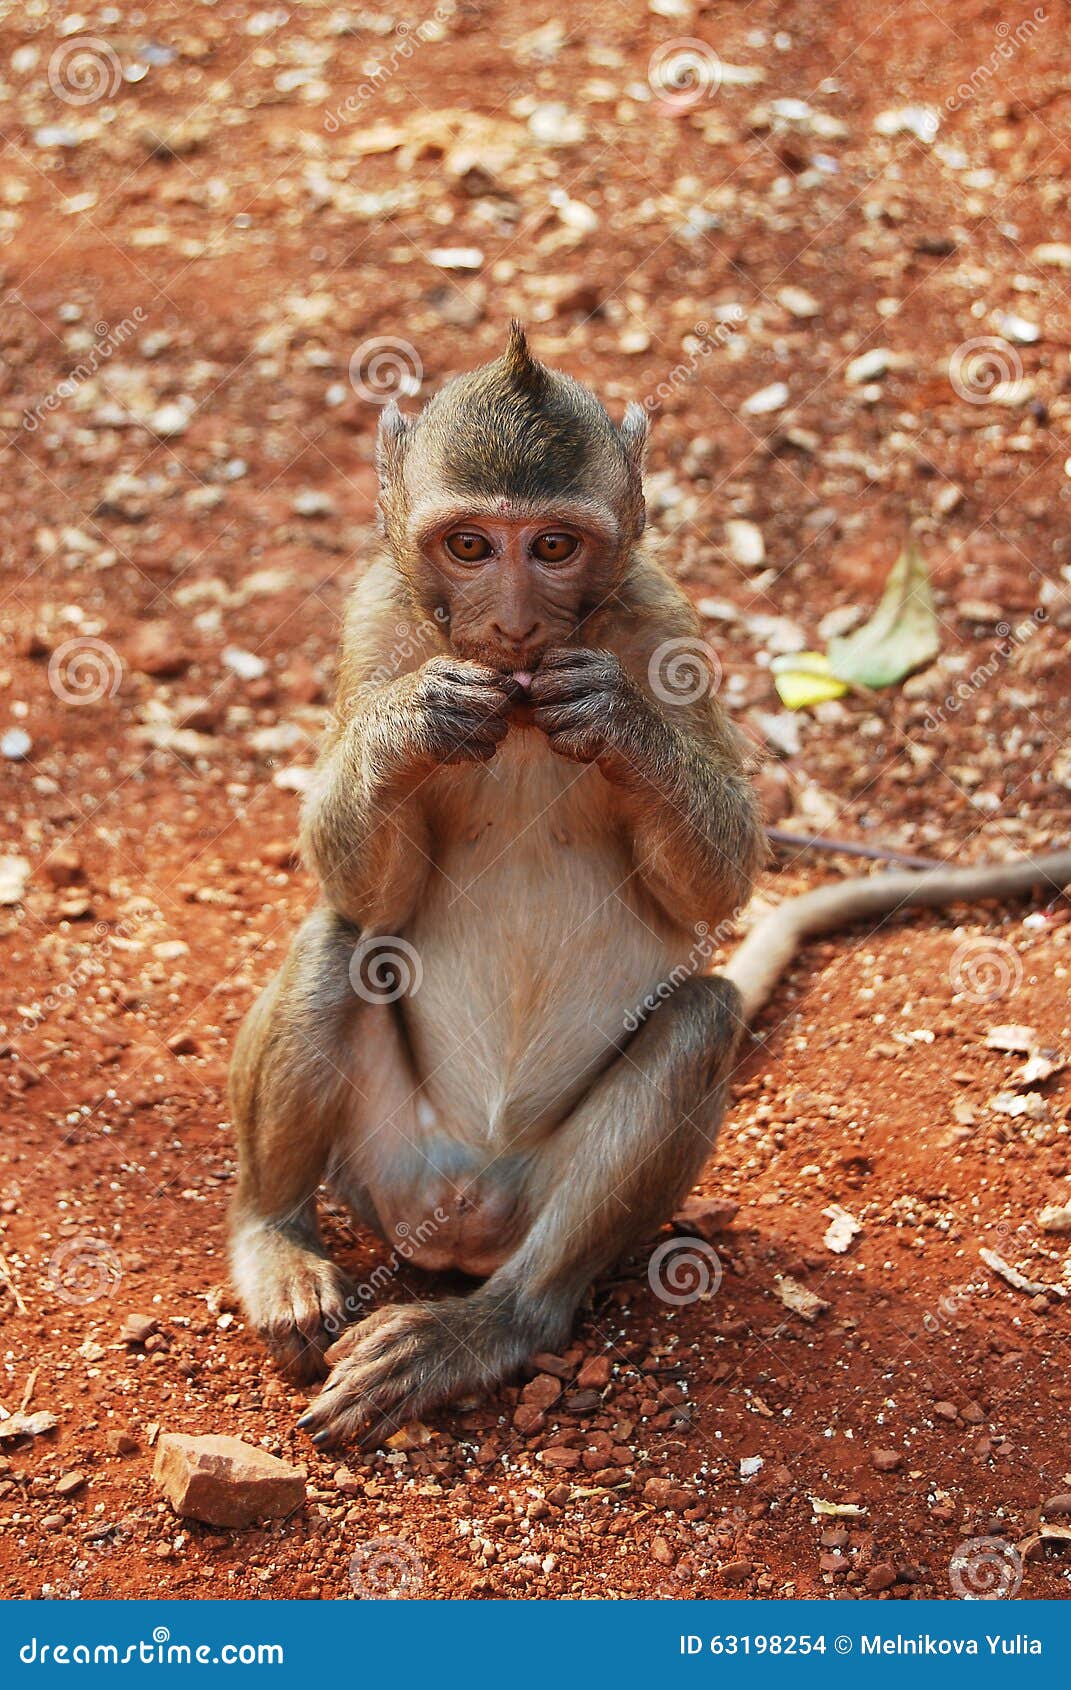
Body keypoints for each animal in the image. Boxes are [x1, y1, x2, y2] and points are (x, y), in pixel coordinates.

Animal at [228, 323, 1071, 1449]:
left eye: (552, 547)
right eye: (470, 546)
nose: (513, 627)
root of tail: (460, 1211)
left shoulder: (663, 620)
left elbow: (710, 891)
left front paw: (619, 724)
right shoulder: (377, 618)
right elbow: (370, 886)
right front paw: (416, 722)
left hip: (530, 1204)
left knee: (700, 1019)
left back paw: (492, 1325)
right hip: (382, 1164)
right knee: (340, 938)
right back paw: (273, 1234)